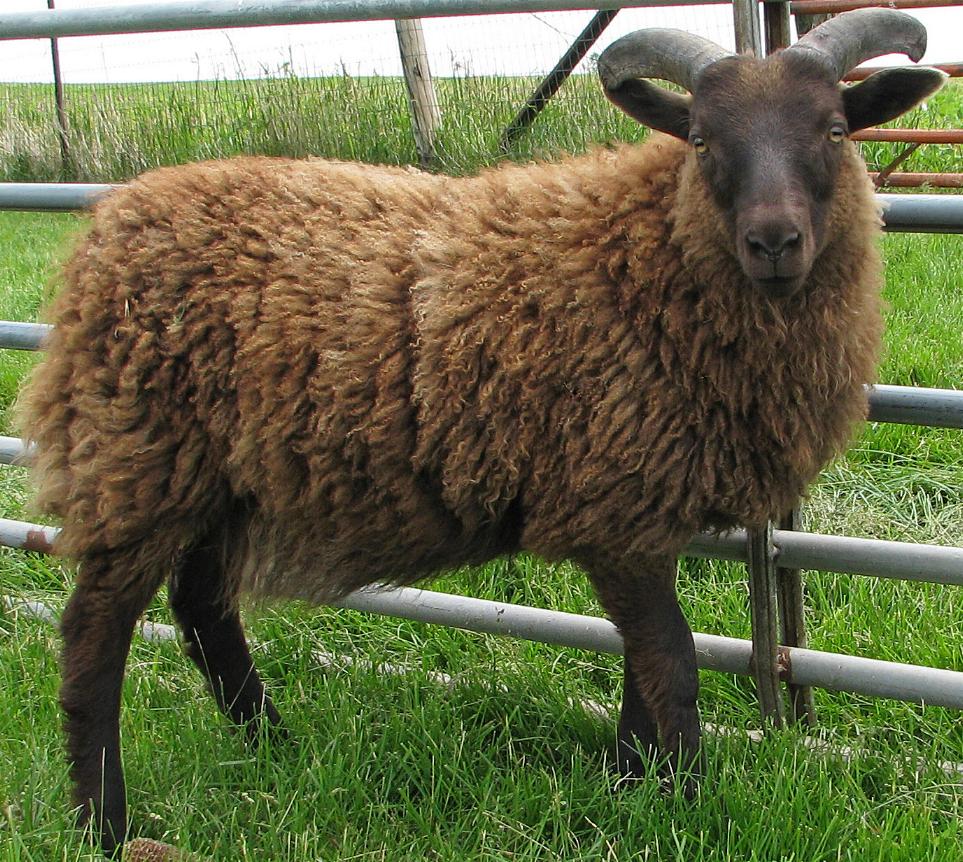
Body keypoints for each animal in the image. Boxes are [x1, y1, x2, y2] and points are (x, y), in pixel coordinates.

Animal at [15, 9, 944, 856]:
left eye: (833, 128)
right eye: (703, 139)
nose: (773, 241)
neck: (649, 254)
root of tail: (107, 225)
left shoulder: (634, 506)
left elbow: (640, 669)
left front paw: (629, 788)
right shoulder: (614, 502)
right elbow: (673, 666)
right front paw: (683, 805)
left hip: (224, 473)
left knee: (203, 606)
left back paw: (269, 745)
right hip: (135, 454)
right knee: (93, 637)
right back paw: (102, 822)